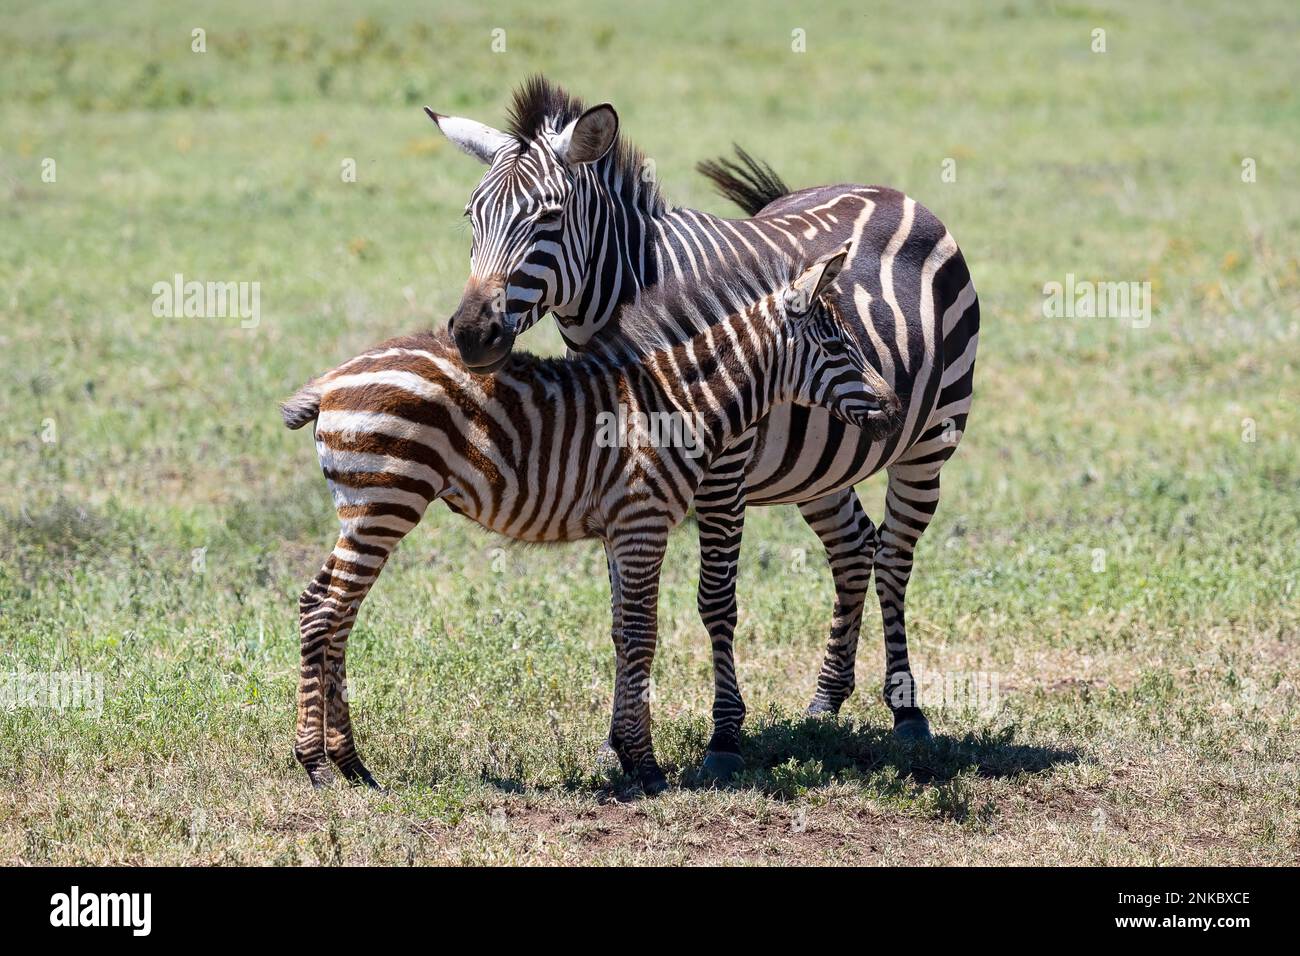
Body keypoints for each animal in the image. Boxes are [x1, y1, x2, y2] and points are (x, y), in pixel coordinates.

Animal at [284, 249, 903, 793]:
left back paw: (352, 766)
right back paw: (316, 767)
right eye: (834, 345)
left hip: (367, 512)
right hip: (383, 505)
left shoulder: (621, 531)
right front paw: (647, 768)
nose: (894, 410)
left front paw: (626, 755)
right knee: (324, 611)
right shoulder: (642, 524)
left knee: (330, 611)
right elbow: (643, 634)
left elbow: (622, 633)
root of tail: (332, 380)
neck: (680, 402)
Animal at [426, 76, 980, 776]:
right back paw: (825, 702)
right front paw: (619, 744)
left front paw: (724, 738)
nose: (473, 335)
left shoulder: (723, 472)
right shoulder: (615, 470)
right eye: (470, 217)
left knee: (897, 557)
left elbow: (715, 600)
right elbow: (624, 611)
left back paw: (907, 712)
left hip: (931, 441)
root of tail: (889, 192)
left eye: (548, 219)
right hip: (820, 465)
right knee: (856, 548)